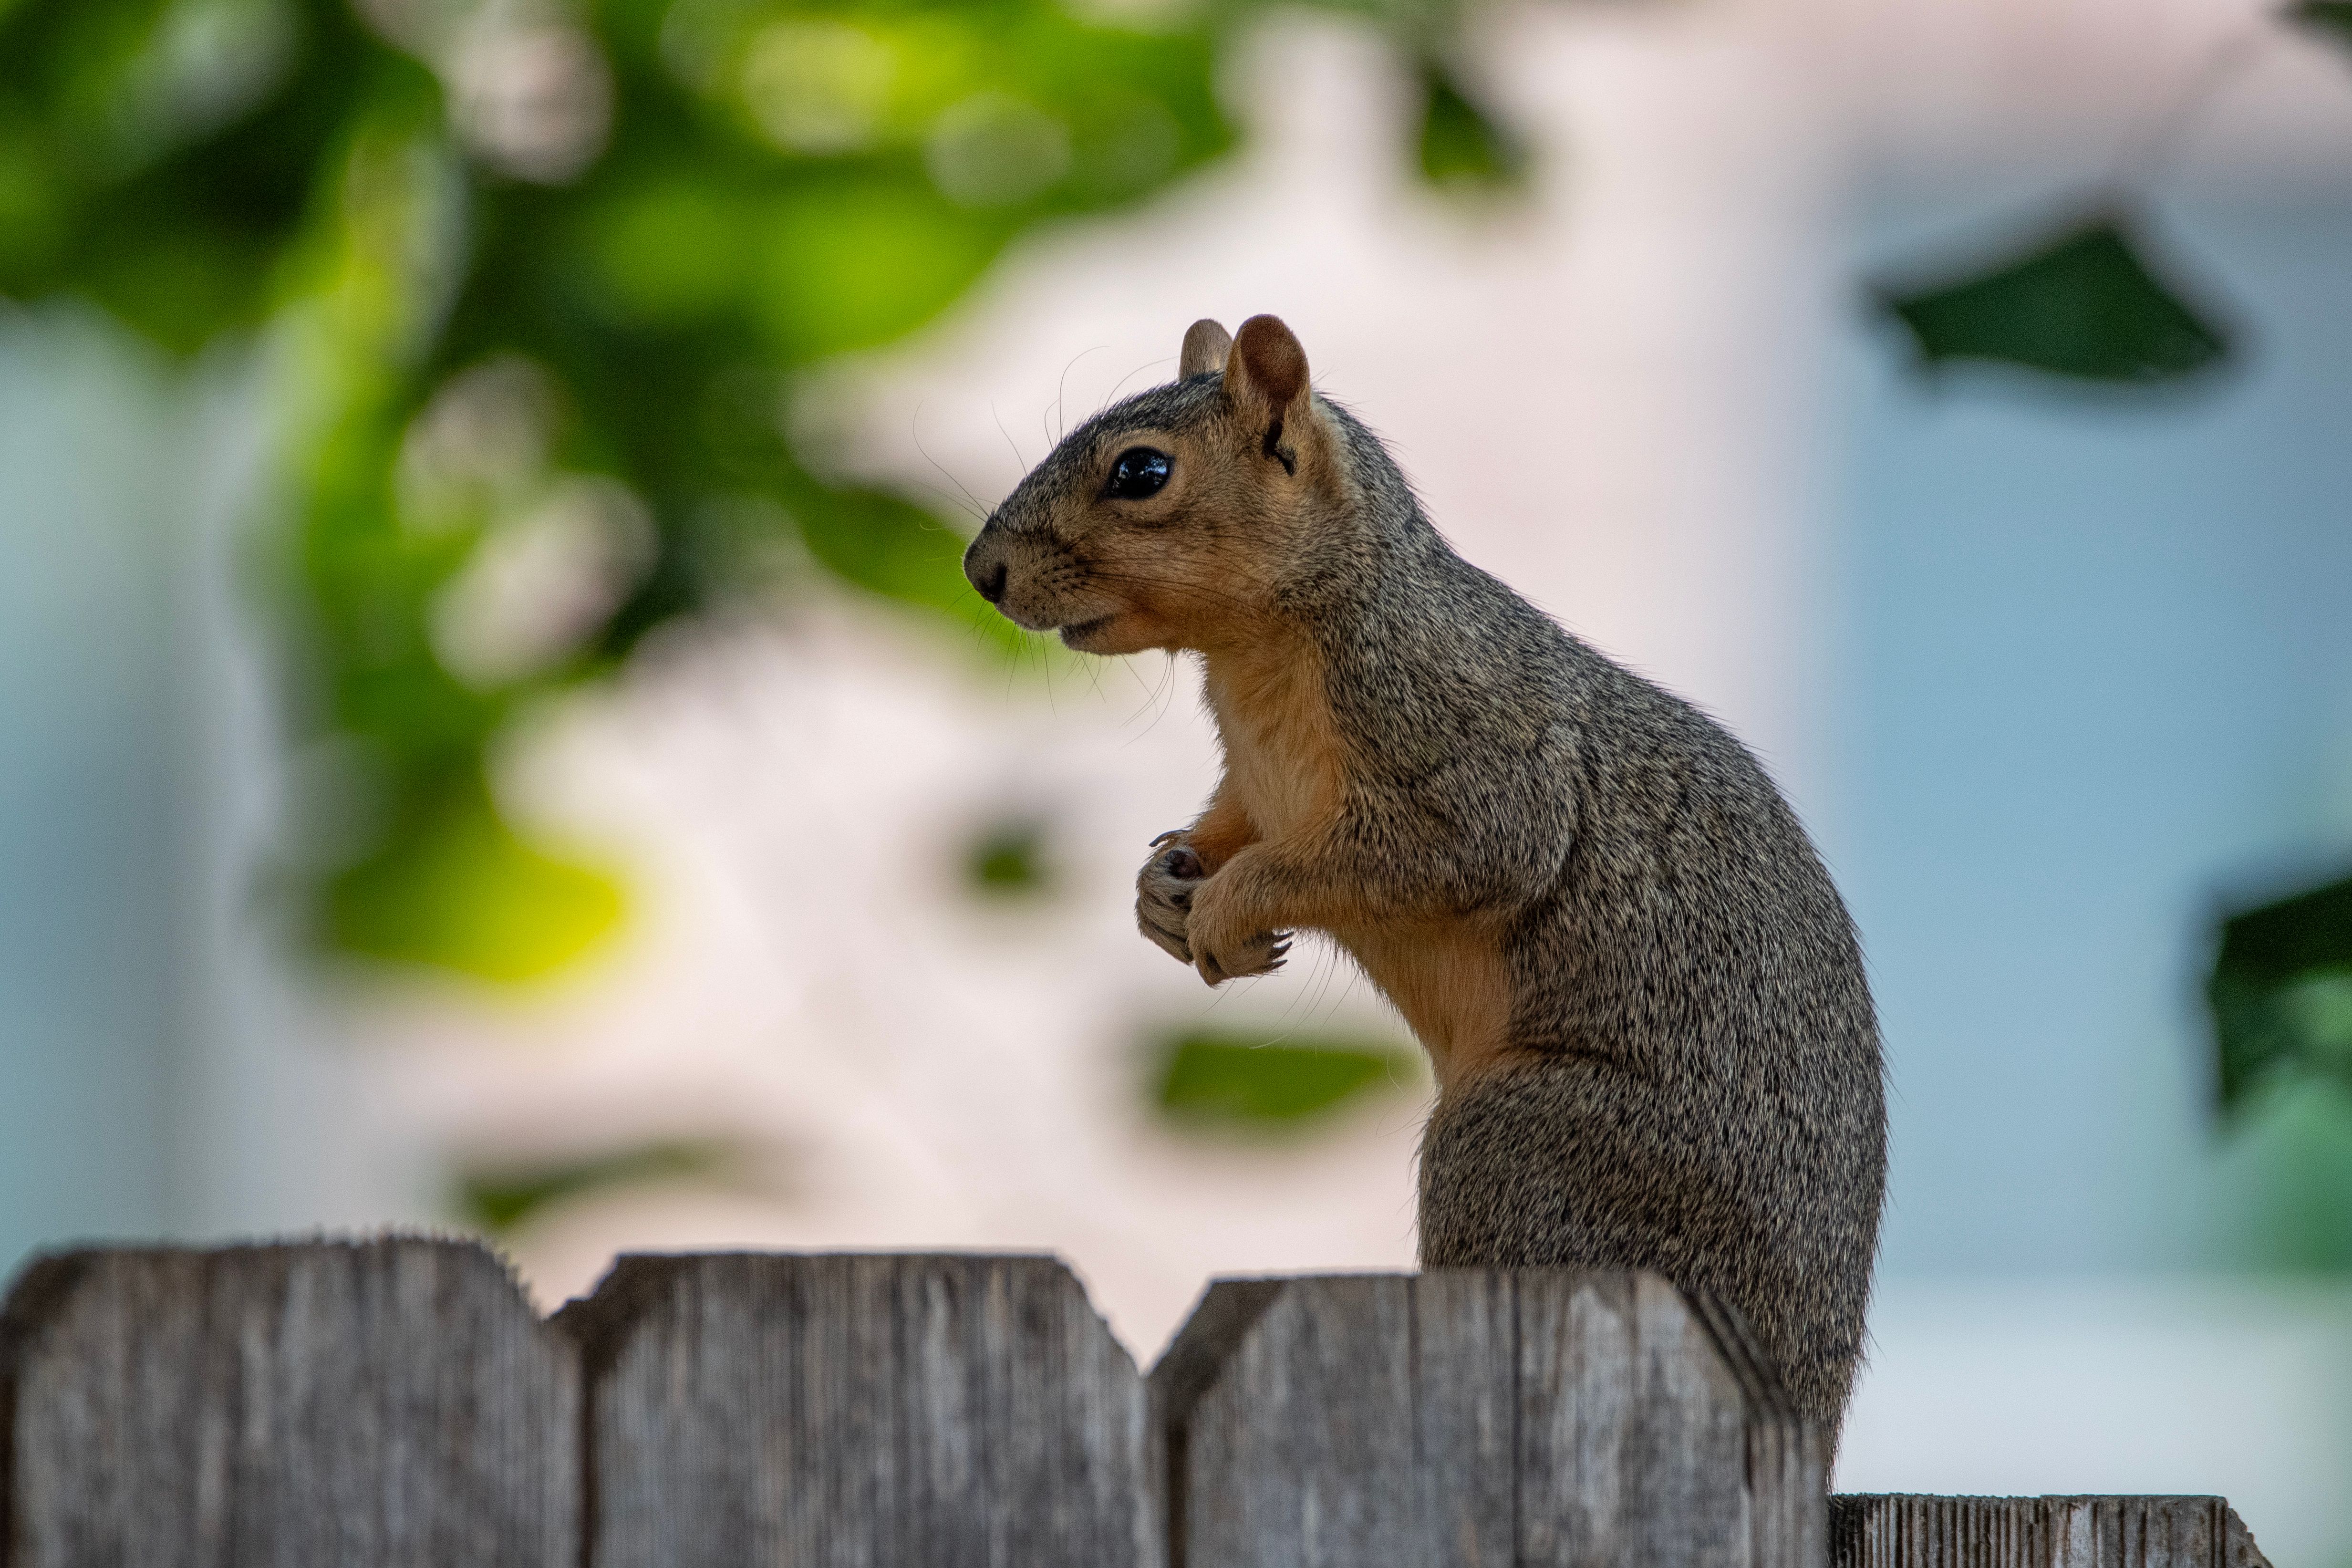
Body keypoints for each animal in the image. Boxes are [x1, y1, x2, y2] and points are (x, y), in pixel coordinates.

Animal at [962, 314, 1886, 1438]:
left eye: (1141, 471)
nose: (980, 569)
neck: (1261, 651)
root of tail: (1804, 1399)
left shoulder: (1462, 754)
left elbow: (1412, 855)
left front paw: (1231, 905)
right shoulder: (1252, 786)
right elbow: (1225, 826)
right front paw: (1161, 897)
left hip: (1526, 1142)